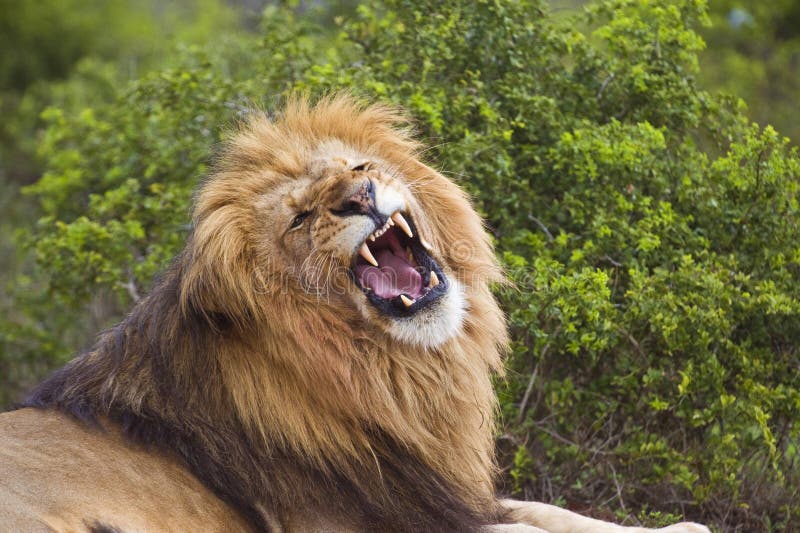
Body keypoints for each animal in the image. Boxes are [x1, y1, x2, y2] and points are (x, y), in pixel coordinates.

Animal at [0, 95, 709, 533]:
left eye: (359, 165)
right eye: (300, 217)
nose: (359, 195)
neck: (387, 378)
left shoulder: (436, 493)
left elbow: (553, 512)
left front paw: (684, 523)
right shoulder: (363, 520)